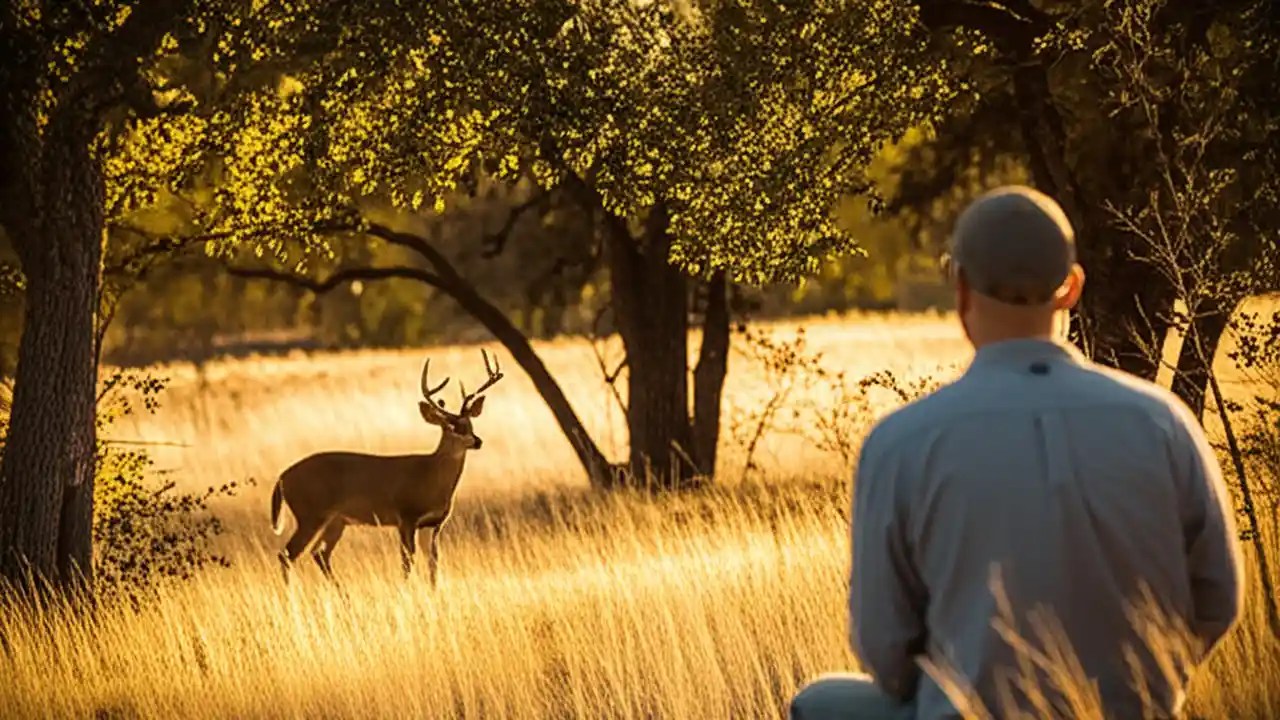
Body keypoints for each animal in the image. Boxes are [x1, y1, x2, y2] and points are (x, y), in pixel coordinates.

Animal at [269, 349, 503, 584]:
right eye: (451, 427)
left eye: (469, 424)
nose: (477, 441)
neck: (430, 475)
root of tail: (282, 477)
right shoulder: (406, 516)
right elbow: (407, 563)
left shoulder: (433, 524)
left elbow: (433, 565)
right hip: (310, 514)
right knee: (287, 554)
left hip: (335, 521)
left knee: (318, 553)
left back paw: (341, 592)